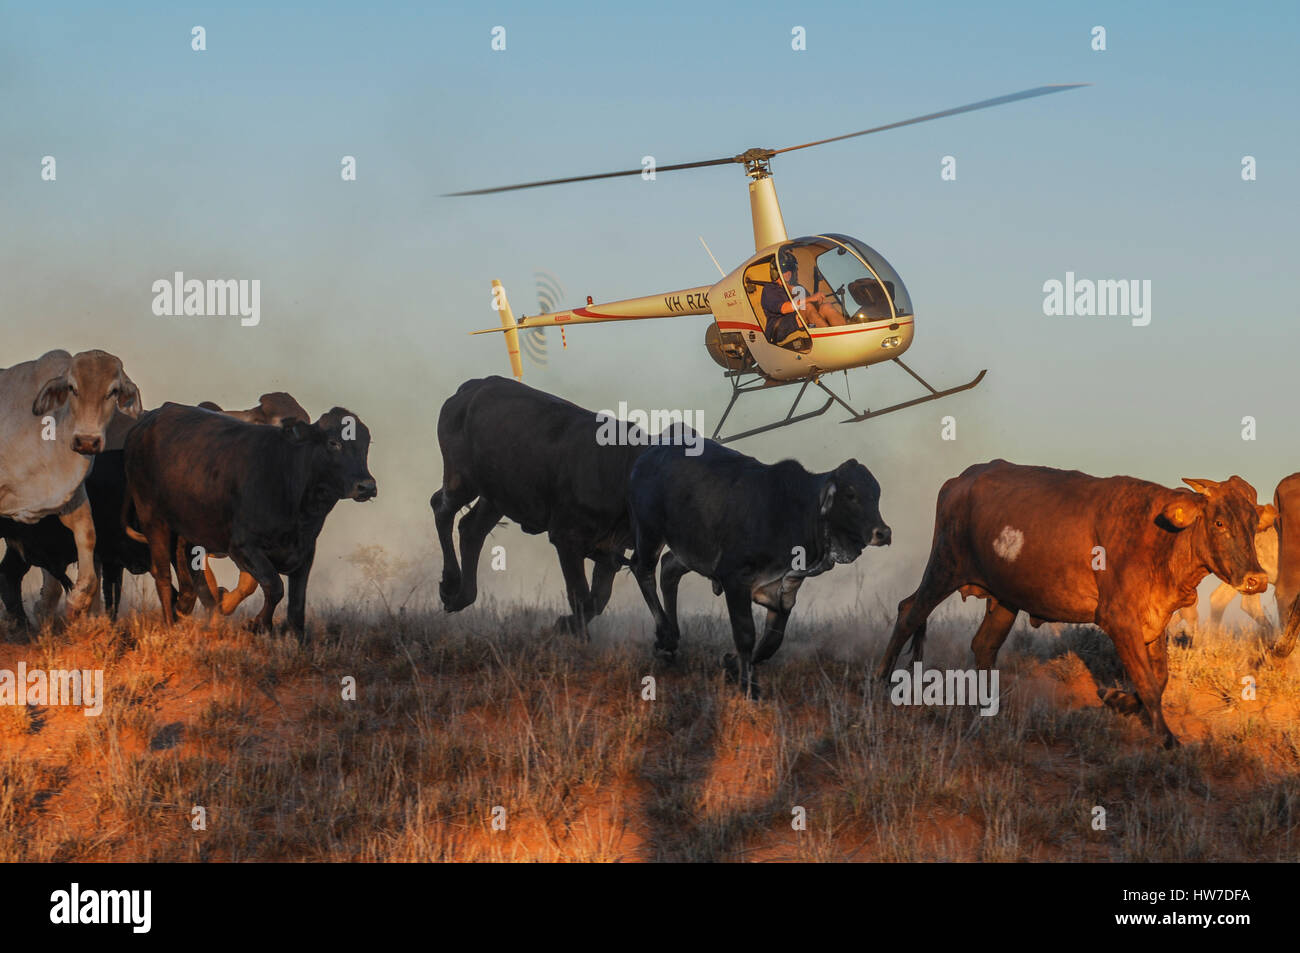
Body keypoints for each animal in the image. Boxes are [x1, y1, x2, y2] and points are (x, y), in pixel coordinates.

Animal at [0, 349, 141, 615]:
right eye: (72, 388)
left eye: (113, 391)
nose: (86, 441)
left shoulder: (71, 496)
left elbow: (88, 536)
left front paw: (77, 601)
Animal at [124, 403, 375, 635]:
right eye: (333, 443)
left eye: (366, 445)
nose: (367, 486)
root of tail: (149, 419)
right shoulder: (243, 545)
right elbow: (274, 586)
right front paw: (258, 624)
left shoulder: (304, 553)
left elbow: (294, 604)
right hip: (153, 519)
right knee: (163, 576)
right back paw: (171, 623)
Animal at [431, 377, 645, 635]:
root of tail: (472, 387)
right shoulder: (566, 538)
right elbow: (582, 597)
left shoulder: (612, 548)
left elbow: (598, 599)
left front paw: (564, 626)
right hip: (462, 480)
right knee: (441, 509)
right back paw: (450, 583)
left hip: (495, 497)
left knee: (470, 529)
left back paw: (461, 595)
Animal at [628, 440, 891, 697]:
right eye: (851, 494)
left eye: (877, 495)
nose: (884, 533)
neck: (796, 512)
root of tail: (650, 453)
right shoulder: (734, 579)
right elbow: (746, 634)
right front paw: (748, 685)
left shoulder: (785, 590)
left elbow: (770, 643)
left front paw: (731, 664)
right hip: (650, 532)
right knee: (643, 570)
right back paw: (666, 637)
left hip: (689, 550)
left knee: (668, 569)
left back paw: (672, 641)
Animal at [874, 461, 1272, 748]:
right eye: (1219, 522)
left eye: (1254, 524)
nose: (1257, 579)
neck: (1161, 539)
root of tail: (961, 479)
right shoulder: (1119, 620)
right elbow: (1147, 681)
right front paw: (1167, 738)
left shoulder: (1153, 622)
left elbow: (1158, 680)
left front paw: (1117, 700)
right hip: (944, 567)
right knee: (909, 613)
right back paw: (880, 681)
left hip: (1004, 599)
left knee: (984, 644)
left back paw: (988, 707)